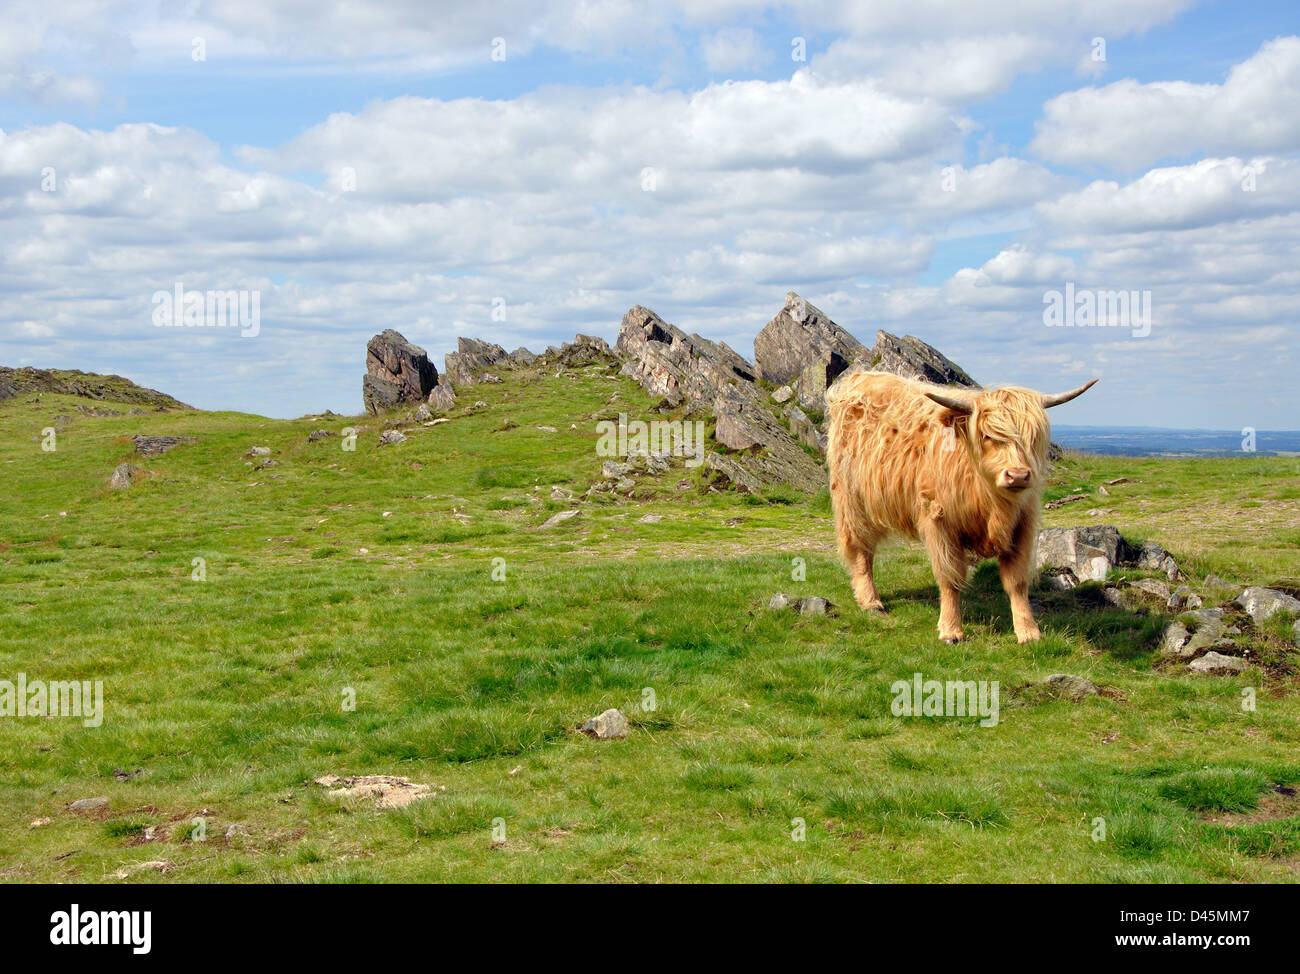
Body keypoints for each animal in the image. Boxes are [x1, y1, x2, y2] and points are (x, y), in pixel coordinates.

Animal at [825, 371, 1097, 644]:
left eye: (1033, 437)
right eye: (987, 435)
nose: (1018, 475)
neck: (990, 502)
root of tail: (860, 377)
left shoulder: (1022, 525)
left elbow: (1017, 581)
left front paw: (1028, 631)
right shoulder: (940, 523)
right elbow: (950, 579)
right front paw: (951, 630)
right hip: (853, 502)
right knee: (862, 551)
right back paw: (872, 602)